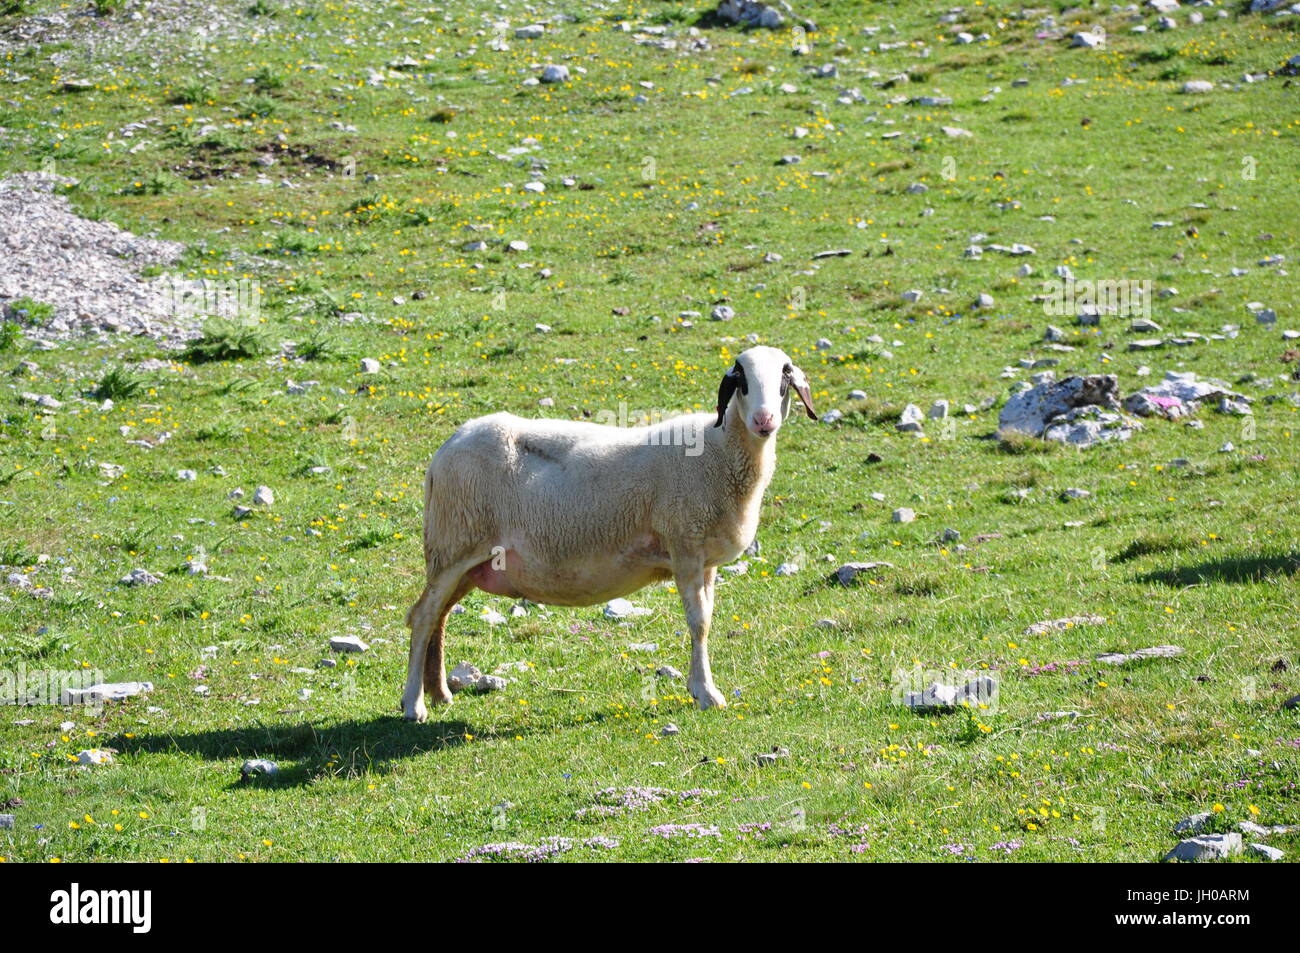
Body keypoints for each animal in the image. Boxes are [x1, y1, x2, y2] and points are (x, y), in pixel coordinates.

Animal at [401, 345, 817, 722]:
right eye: (742, 380)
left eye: (784, 377)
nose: (764, 420)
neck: (719, 451)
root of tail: (446, 449)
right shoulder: (684, 545)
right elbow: (698, 622)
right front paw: (706, 692)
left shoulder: (706, 559)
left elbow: (708, 618)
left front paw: (702, 686)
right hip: (453, 544)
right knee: (423, 616)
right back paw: (413, 705)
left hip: (467, 557)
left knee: (439, 617)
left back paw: (438, 692)